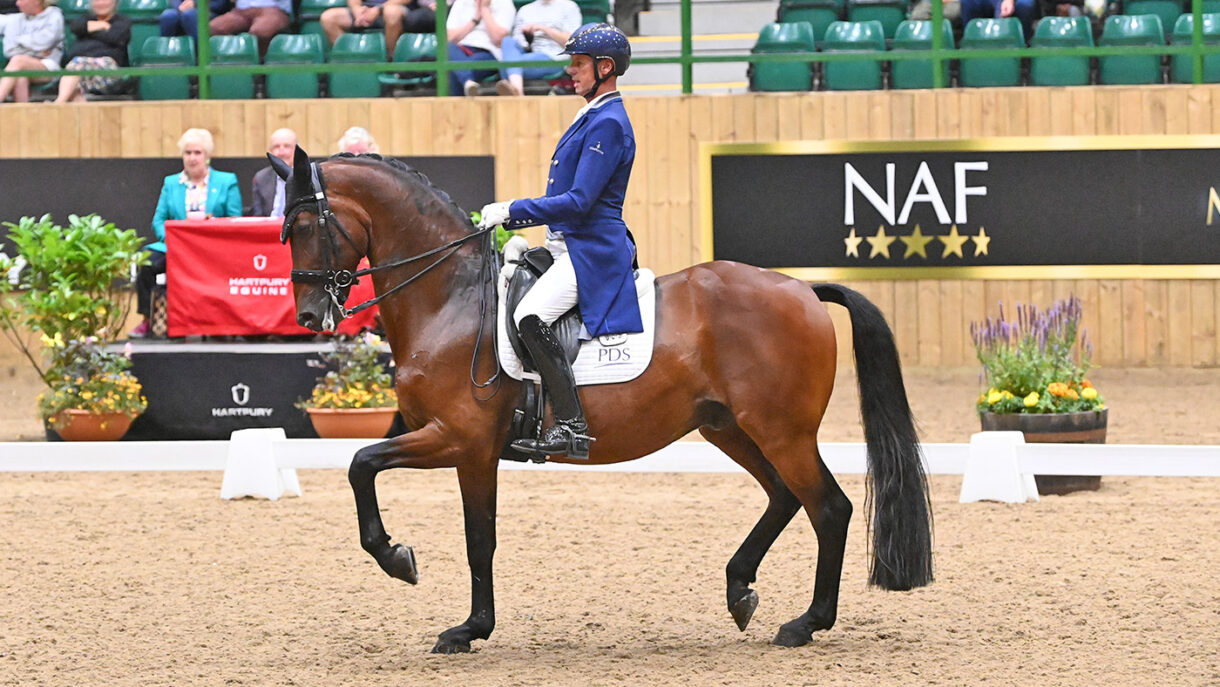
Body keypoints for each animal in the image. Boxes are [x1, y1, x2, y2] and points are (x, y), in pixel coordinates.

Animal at [273, 146, 933, 654]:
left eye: (303, 228)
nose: (308, 317)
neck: (451, 298)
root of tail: (802, 289)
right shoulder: (460, 446)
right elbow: (417, 498)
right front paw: (457, 613)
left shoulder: (462, 439)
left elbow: (388, 480)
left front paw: (421, 583)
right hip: (729, 428)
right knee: (784, 497)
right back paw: (740, 589)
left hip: (781, 430)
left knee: (828, 508)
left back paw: (805, 623)